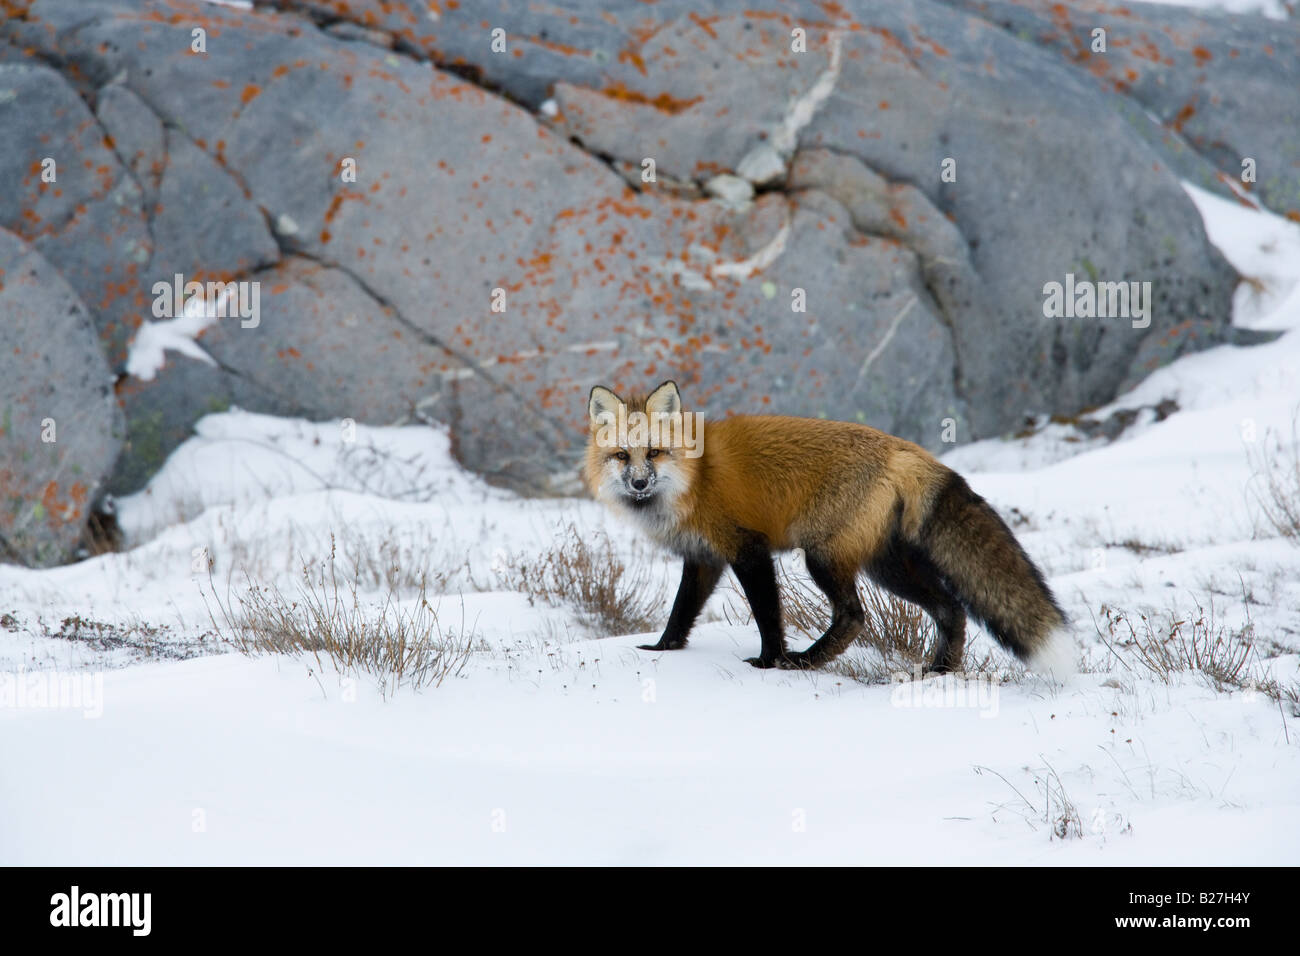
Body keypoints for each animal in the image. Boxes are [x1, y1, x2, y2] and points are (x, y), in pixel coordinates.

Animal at [584, 380, 1068, 673]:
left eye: (655, 453)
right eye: (622, 456)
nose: (639, 483)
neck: (695, 479)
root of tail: (904, 449)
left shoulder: (748, 549)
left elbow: (767, 614)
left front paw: (769, 660)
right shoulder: (704, 556)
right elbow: (681, 611)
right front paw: (663, 651)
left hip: (824, 557)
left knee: (855, 615)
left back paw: (805, 661)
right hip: (884, 565)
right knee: (951, 608)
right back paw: (940, 672)